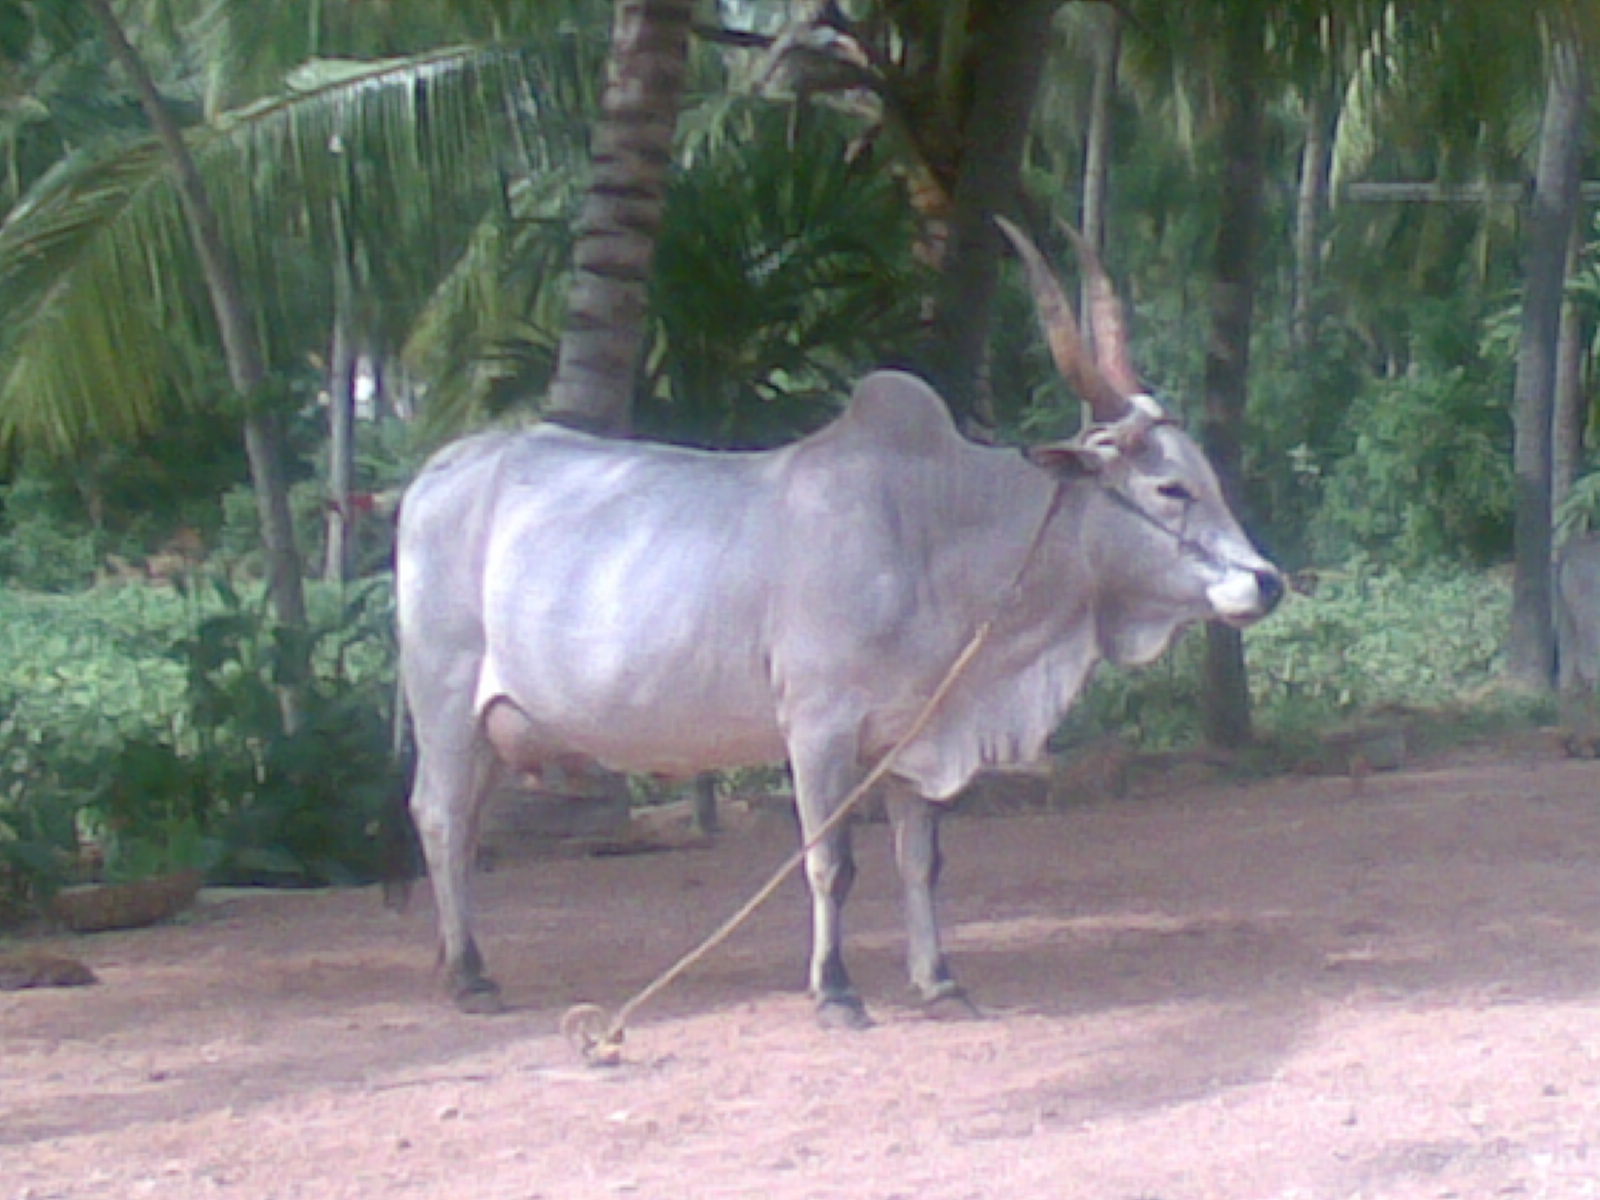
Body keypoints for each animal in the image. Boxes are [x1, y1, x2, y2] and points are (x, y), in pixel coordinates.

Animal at [396, 219, 1284, 1026]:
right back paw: (471, 977)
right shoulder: (818, 730)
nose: (1267, 582)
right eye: (1170, 487)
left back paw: (450, 960)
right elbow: (830, 864)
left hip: (487, 729)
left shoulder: (917, 733)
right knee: (438, 817)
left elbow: (920, 862)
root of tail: (444, 470)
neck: (929, 526)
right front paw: (835, 990)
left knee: (463, 829)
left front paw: (940, 981)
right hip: (444, 703)